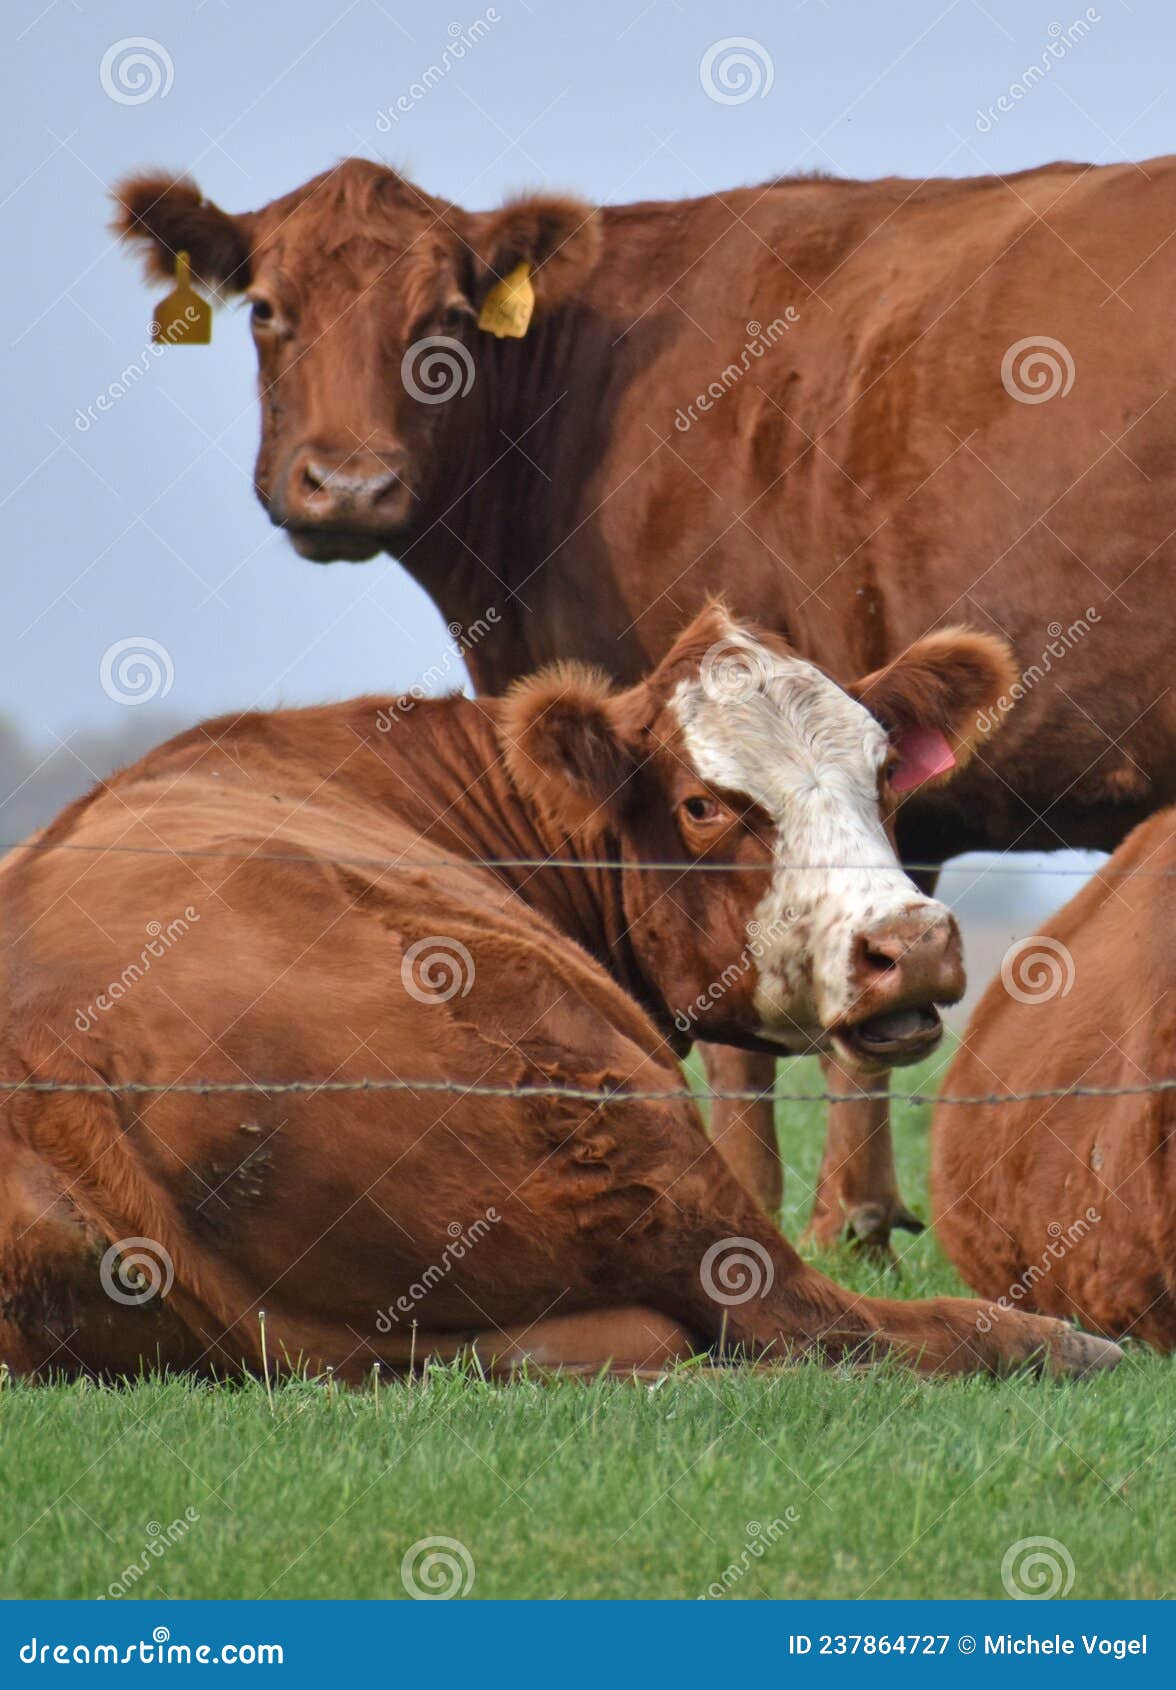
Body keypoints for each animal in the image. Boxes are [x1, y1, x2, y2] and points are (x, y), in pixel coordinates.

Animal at [0, 606, 1121, 1381]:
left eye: (886, 773)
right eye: (703, 805)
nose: (912, 944)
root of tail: (47, 1057)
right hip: (614, 1106)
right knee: (808, 1319)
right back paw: (1059, 1339)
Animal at [112, 153, 1176, 1249]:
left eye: (446, 319)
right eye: (267, 310)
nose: (350, 484)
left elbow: (754, 1030)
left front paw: (782, 1210)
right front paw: (864, 1215)